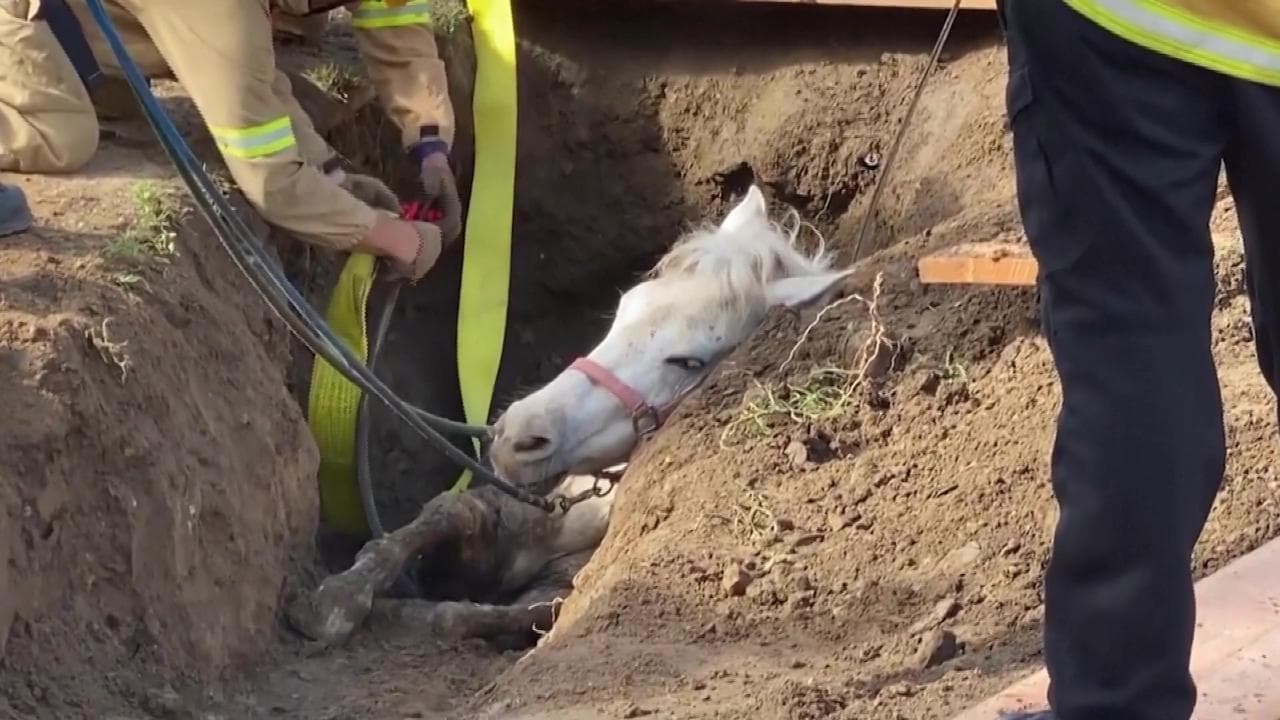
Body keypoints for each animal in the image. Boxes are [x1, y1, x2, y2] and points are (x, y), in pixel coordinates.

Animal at [287, 185, 854, 649]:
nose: (518, 437)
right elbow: (446, 513)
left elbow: (473, 614)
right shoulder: (509, 510)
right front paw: (336, 598)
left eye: (689, 362)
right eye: (625, 307)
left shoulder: (556, 583)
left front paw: (400, 613)